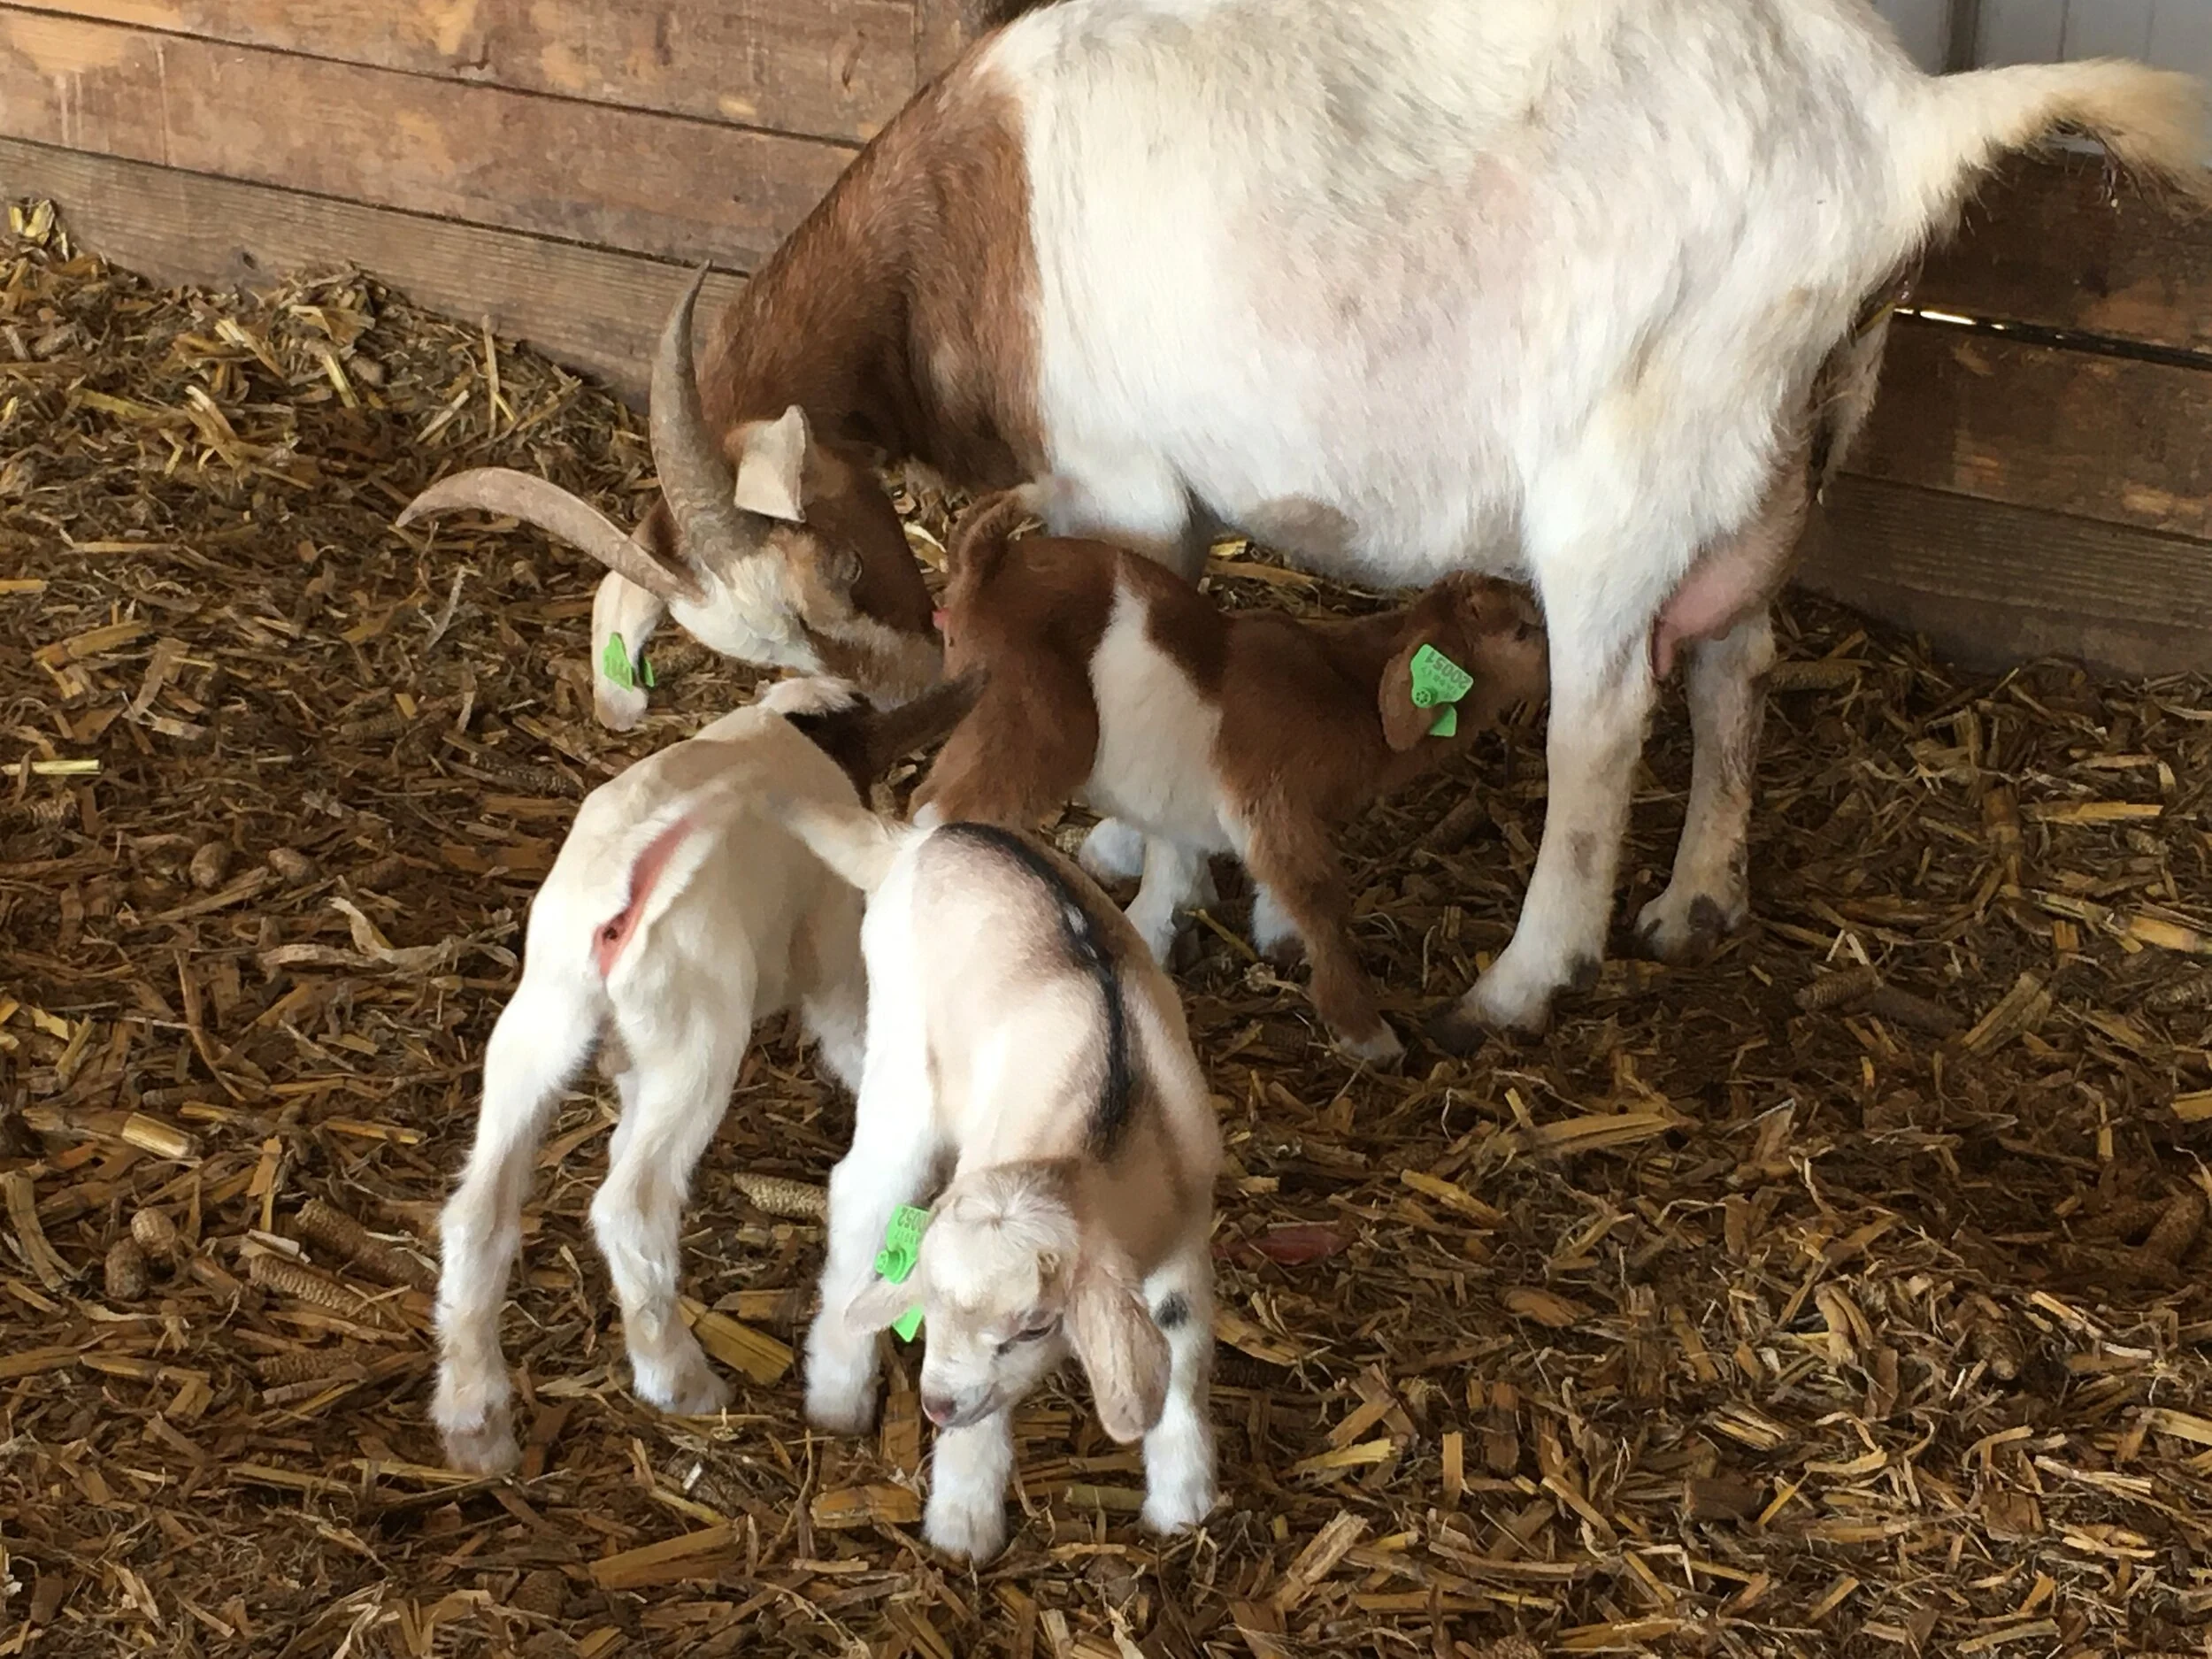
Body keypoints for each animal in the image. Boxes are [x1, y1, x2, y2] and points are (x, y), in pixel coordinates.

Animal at [432, 674, 974, 1475]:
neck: (799, 731)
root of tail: (626, 885)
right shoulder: (831, 941)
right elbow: (852, 1030)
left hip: (539, 1025)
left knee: (480, 1208)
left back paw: (474, 1416)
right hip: (697, 1035)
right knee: (631, 1206)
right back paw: (679, 1378)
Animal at [771, 802, 1219, 1563]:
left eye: (1037, 1325)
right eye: (930, 1305)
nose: (936, 1405)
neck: (1109, 1129)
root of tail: (918, 842)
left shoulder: (1187, 1232)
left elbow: (1181, 1344)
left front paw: (1183, 1499)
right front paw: (963, 1520)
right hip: (905, 1060)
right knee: (863, 1193)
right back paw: (838, 1389)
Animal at [911, 492, 1547, 1062]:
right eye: (1520, 630)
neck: (1346, 689)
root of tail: (983, 567)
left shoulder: (1189, 814)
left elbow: (1170, 892)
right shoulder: (1271, 800)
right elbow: (1318, 899)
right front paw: (1367, 1033)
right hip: (1026, 731)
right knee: (934, 812)